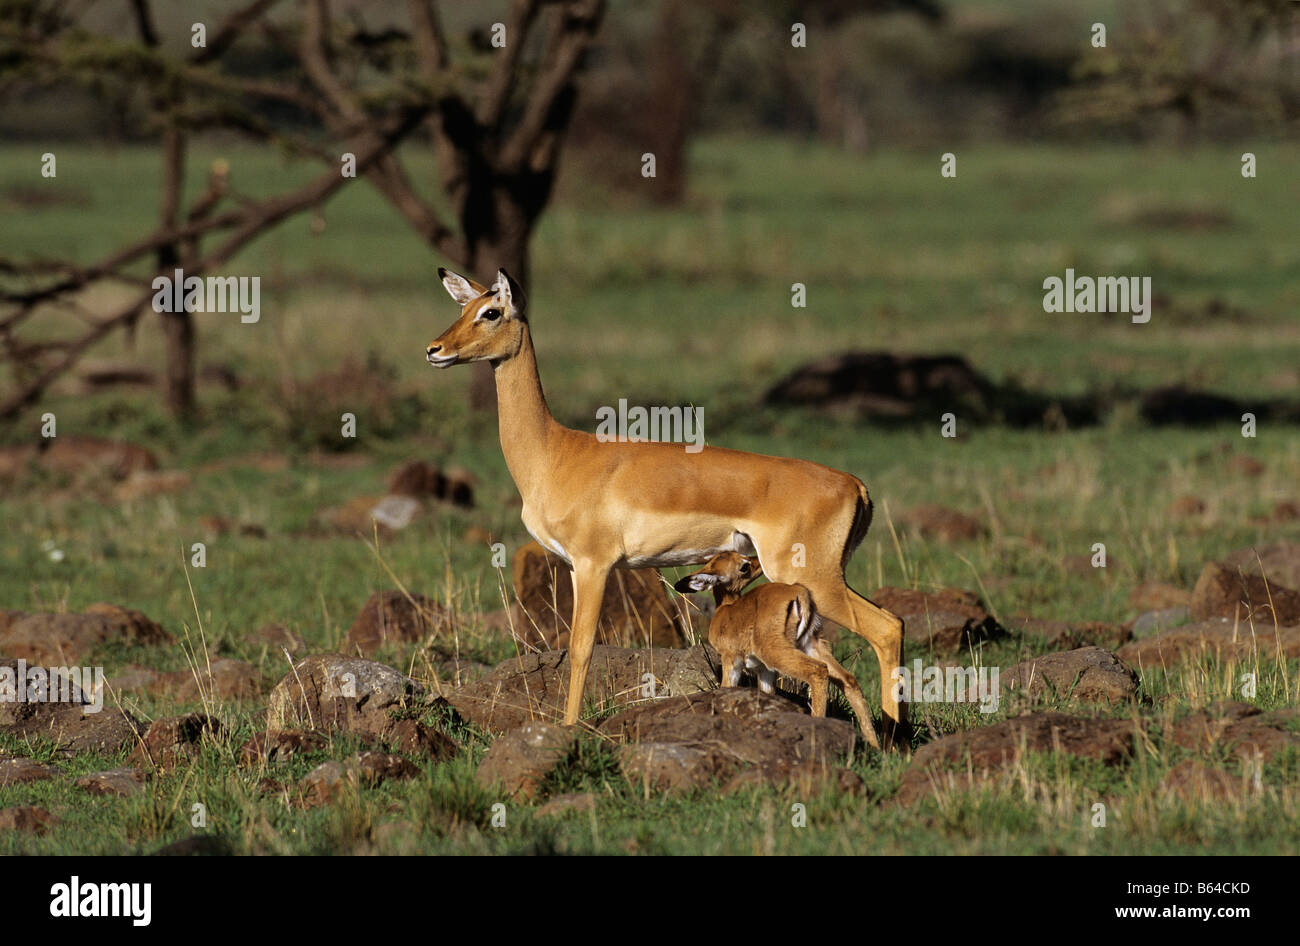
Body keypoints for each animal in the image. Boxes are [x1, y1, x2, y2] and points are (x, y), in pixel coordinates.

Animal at [675, 552, 881, 748]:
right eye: (744, 566)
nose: (758, 559)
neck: (726, 611)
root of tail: (798, 591)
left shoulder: (731, 660)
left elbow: (726, 688)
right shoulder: (764, 670)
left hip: (777, 653)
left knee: (818, 671)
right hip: (812, 645)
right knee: (848, 679)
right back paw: (875, 746)